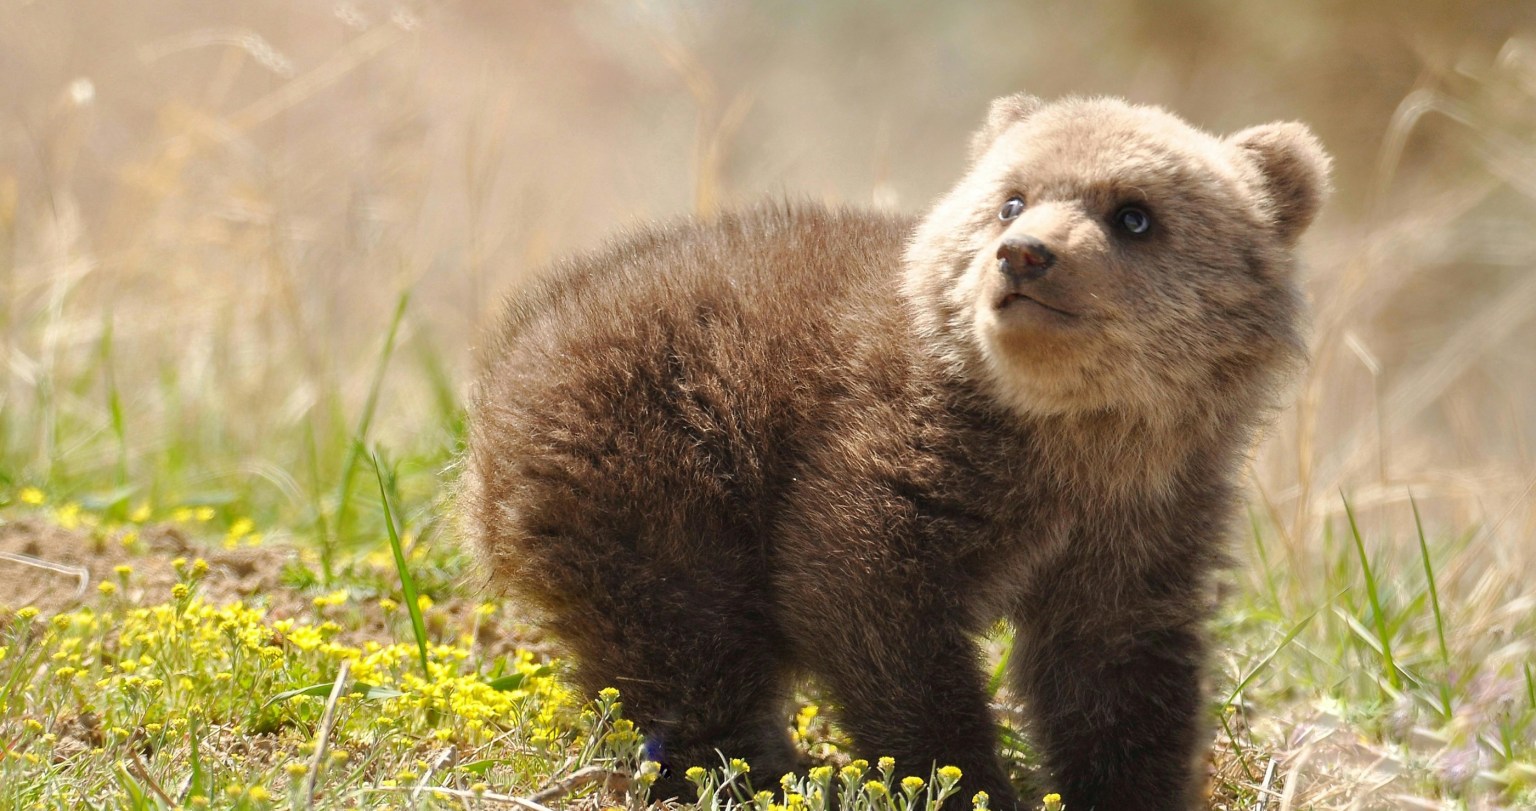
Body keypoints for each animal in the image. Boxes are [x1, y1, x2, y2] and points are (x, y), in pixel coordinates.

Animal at [461, 94, 1330, 810]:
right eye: (1011, 197)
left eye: (1135, 213)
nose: (1026, 252)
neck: (1068, 435)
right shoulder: (897, 455)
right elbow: (870, 600)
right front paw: (962, 780)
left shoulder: (1144, 517)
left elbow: (1118, 670)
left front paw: (1126, 785)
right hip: (665, 456)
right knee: (684, 638)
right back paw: (760, 772)